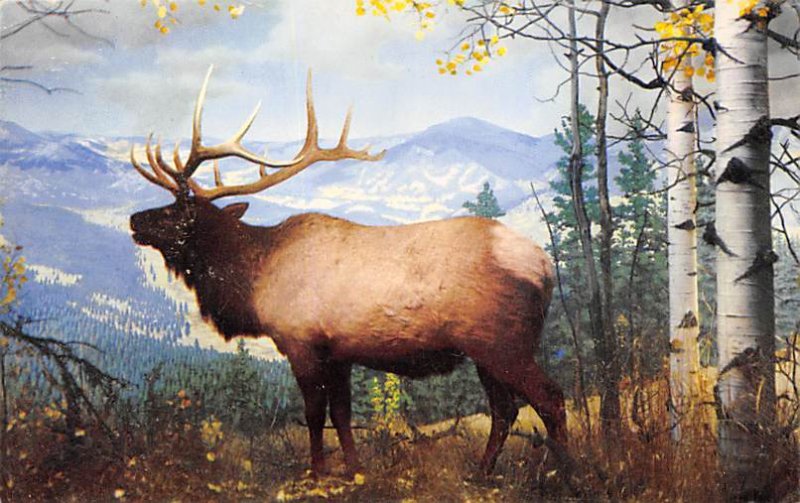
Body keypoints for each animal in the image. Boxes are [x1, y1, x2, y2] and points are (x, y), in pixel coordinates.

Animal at [129, 66, 567, 477]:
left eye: (175, 212)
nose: (134, 219)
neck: (253, 279)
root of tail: (544, 265)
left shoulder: (300, 342)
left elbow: (313, 415)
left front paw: (317, 471)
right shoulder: (338, 352)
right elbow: (342, 414)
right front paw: (354, 469)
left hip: (503, 343)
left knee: (550, 398)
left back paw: (567, 471)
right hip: (485, 351)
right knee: (505, 408)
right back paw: (481, 473)